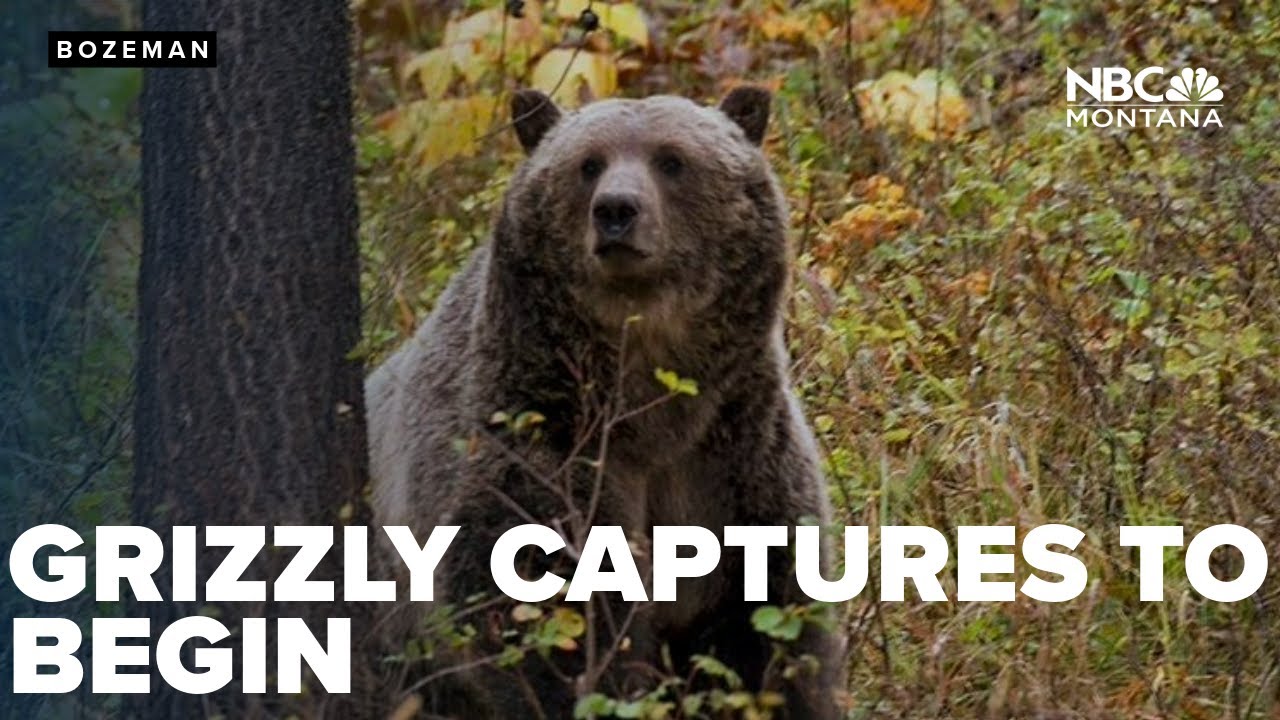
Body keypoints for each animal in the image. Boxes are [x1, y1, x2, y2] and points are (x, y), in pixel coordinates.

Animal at [367, 86, 842, 719]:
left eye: (672, 159)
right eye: (588, 163)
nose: (616, 210)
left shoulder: (736, 456)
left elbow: (770, 626)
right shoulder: (538, 441)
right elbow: (539, 608)